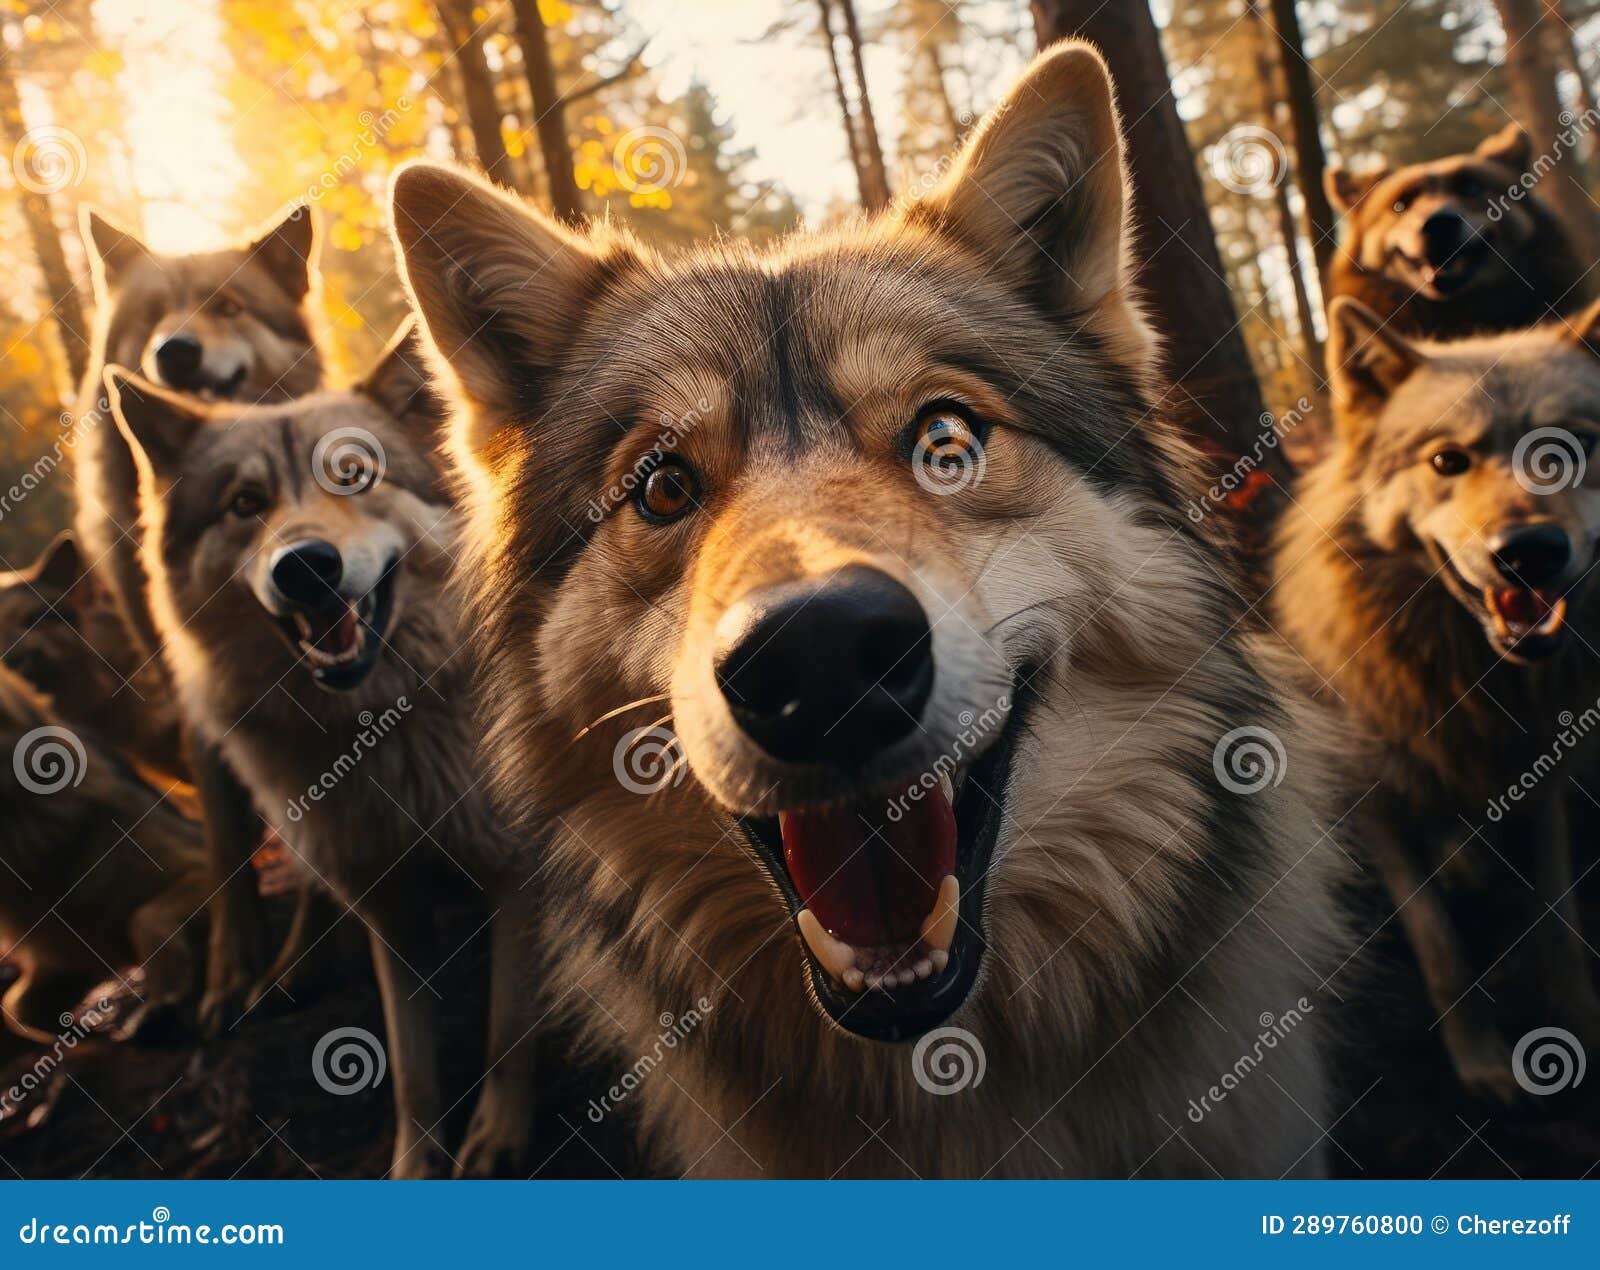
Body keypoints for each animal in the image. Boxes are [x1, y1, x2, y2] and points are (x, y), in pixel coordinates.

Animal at [105, 325, 540, 1179]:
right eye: (246, 504)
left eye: (354, 475)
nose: (305, 566)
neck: (387, 730)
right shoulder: (386, 902)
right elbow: (411, 1070)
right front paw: (416, 1165)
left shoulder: (517, 877)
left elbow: (507, 1035)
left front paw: (499, 1141)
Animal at [1274, 295, 1600, 1100]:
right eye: (1448, 460)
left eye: (1574, 448)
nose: (1530, 552)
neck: (1469, 687)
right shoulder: (1378, 805)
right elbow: (1441, 949)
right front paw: (1482, 1064)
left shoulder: (1542, 783)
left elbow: (1558, 920)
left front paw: (1580, 1025)